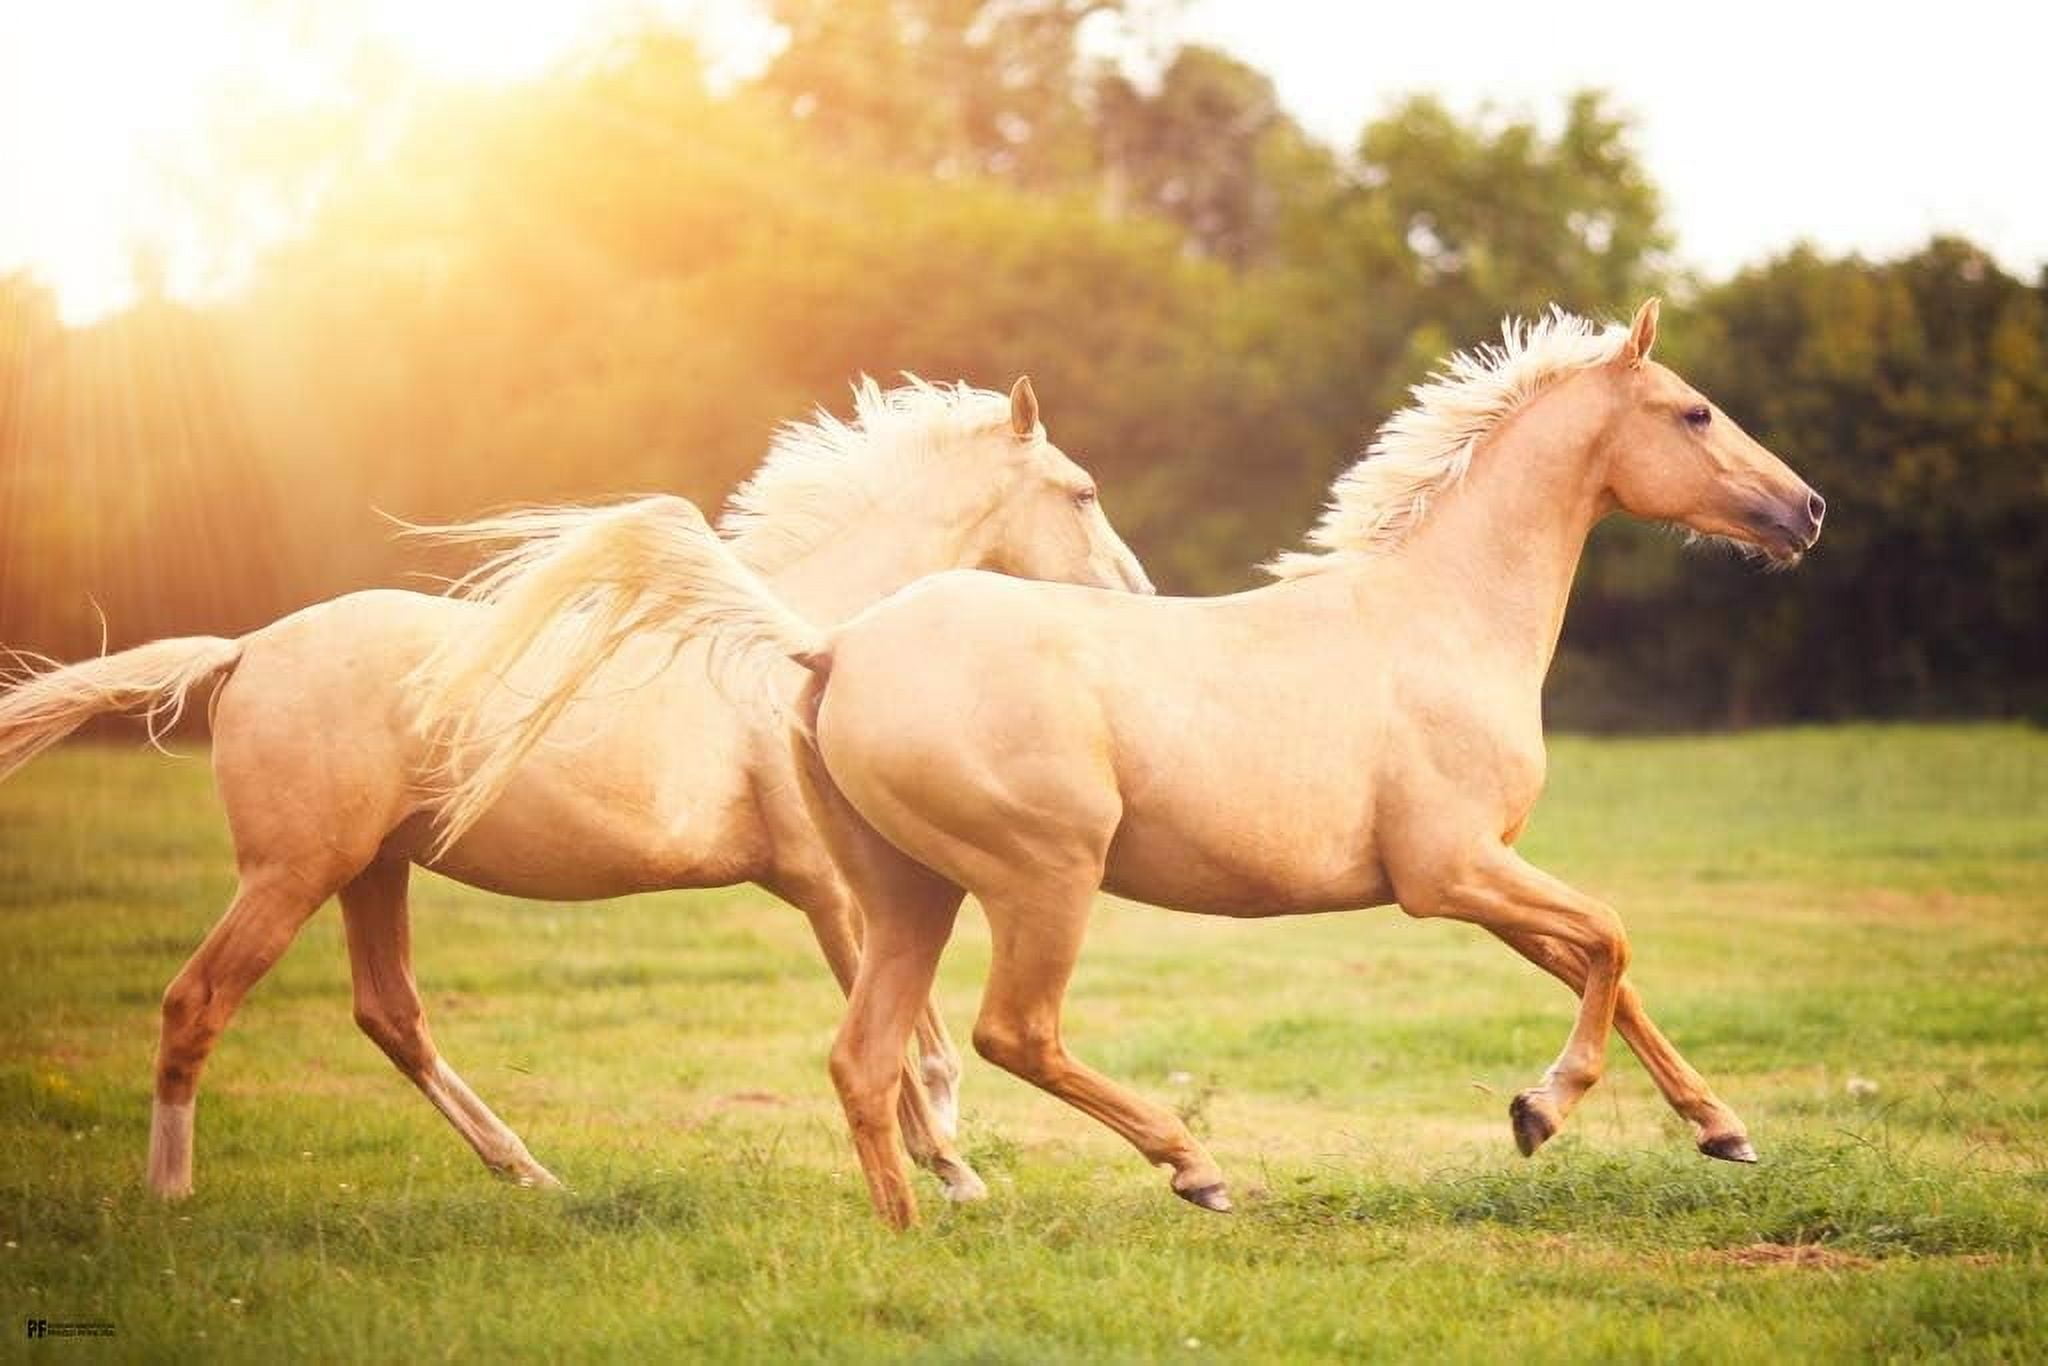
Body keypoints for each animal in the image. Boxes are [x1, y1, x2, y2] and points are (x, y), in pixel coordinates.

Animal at [0, 375, 1151, 1203]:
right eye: (1083, 491)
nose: (1138, 596)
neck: (802, 646)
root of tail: (242, 652)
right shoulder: (834, 890)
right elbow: (908, 1045)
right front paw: (953, 1173)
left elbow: (917, 1040)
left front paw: (948, 1166)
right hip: (291, 872)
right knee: (197, 1001)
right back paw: (171, 1195)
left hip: (371, 870)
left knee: (391, 1017)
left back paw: (529, 1172)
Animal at [423, 300, 1825, 1228]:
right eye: (1692, 411)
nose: (1804, 510)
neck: (1436, 618)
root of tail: (830, 646)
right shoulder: (1448, 873)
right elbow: (1612, 942)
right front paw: (1540, 1111)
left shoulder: (1483, 875)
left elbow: (1604, 966)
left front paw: (1722, 1131)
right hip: (1042, 875)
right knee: (1009, 1032)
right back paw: (1191, 1166)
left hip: (903, 895)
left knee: (865, 1058)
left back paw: (913, 1232)